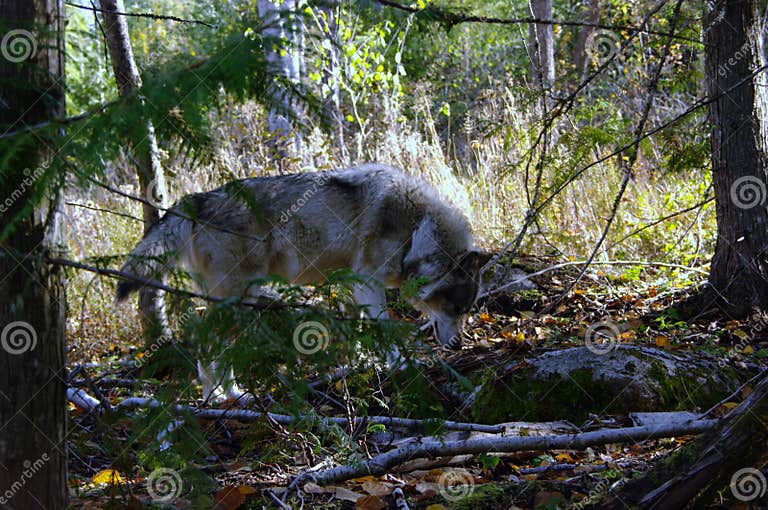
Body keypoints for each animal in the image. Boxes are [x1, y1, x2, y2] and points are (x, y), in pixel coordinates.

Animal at [117, 163, 483, 402]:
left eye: (466, 309)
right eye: (455, 306)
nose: (458, 346)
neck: (416, 227)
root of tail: (197, 199)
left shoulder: (353, 285)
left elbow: (358, 331)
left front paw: (362, 363)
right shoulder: (367, 282)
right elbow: (385, 329)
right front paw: (399, 363)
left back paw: (226, 394)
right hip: (240, 300)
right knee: (208, 346)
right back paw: (223, 398)